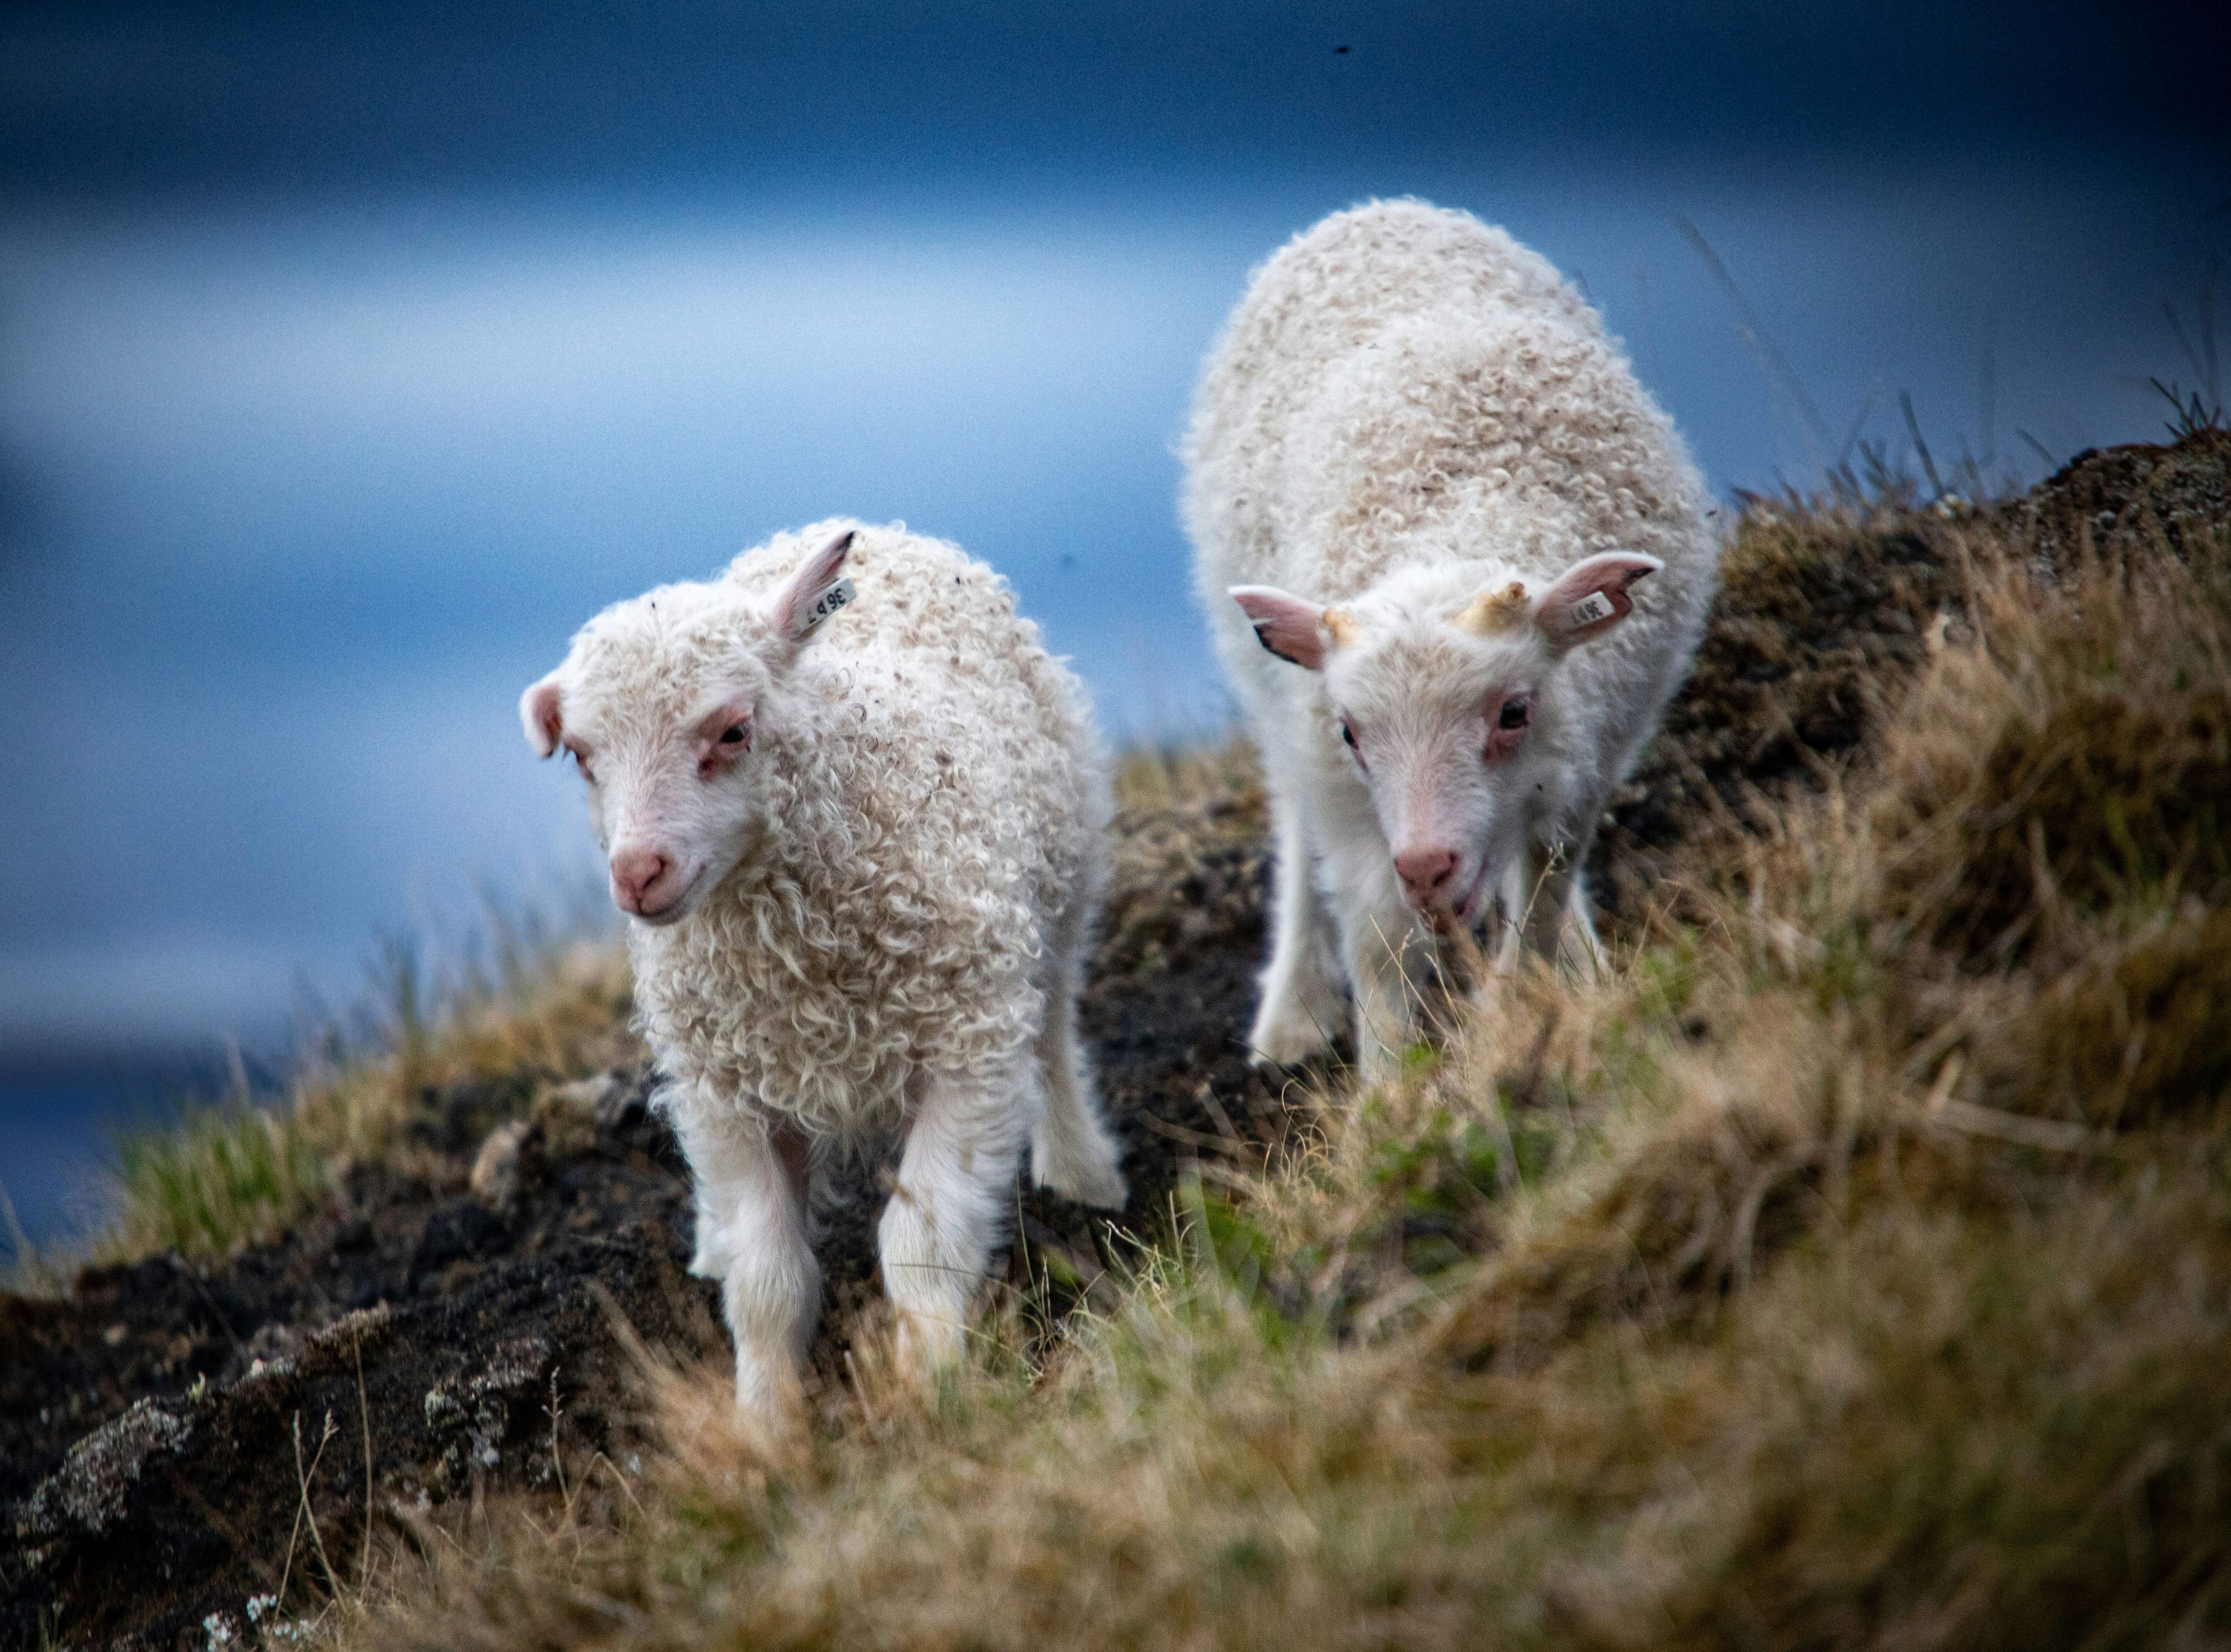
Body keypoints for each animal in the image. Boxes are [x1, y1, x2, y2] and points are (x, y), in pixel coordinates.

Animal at [519, 520, 1128, 1413]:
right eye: (583, 759)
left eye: (733, 731)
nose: (638, 873)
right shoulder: (725, 1091)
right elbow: (768, 1281)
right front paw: (767, 1420)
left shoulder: (970, 1048)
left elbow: (920, 1240)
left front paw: (934, 1389)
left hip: (1067, 877)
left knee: (1053, 1029)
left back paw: (1084, 1173)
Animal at [1184, 199, 1721, 1082]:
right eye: (1351, 732)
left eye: (1513, 713)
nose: (1428, 870)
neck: (1459, 505)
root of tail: (1376, 209)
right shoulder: (1339, 781)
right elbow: (1377, 944)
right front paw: (1388, 1095)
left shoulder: (1591, 751)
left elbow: (1541, 894)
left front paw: (1517, 1022)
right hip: (1258, 672)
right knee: (1293, 819)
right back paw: (1292, 1015)